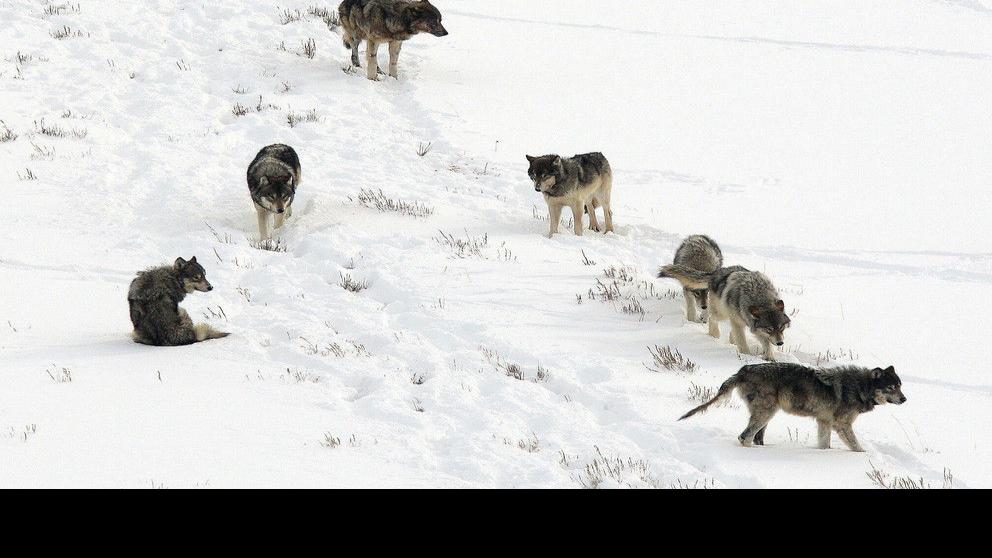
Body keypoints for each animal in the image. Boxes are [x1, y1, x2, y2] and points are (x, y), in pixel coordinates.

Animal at [659, 265, 790, 361]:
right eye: (769, 329)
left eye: (781, 327)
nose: (780, 343)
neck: (761, 298)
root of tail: (716, 272)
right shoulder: (741, 323)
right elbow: (743, 343)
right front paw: (747, 356)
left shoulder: (753, 326)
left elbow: (766, 343)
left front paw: (770, 357)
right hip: (722, 314)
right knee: (711, 317)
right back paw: (714, 335)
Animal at [680, 363, 907, 452]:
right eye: (891, 387)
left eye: (900, 386)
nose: (905, 399)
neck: (861, 387)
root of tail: (743, 370)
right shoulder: (842, 425)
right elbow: (857, 447)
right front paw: (864, 456)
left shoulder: (824, 422)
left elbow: (824, 445)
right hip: (766, 413)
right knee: (744, 437)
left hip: (765, 416)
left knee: (753, 437)